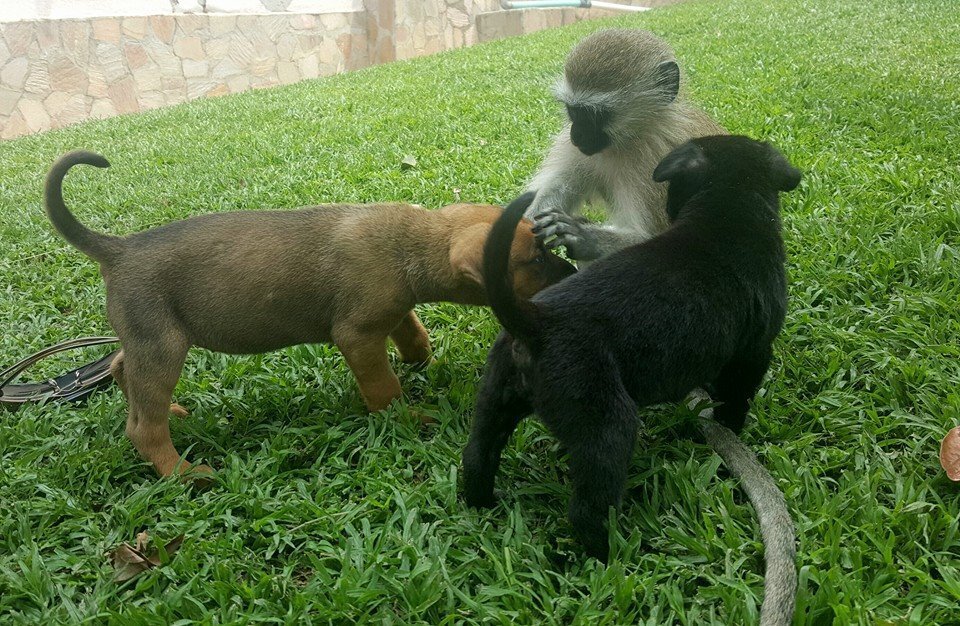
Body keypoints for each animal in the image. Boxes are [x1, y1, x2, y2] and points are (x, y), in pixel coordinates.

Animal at [525, 28, 726, 262]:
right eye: (573, 111)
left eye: (594, 115)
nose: (576, 135)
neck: (631, 140)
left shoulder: (658, 161)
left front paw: (583, 237)